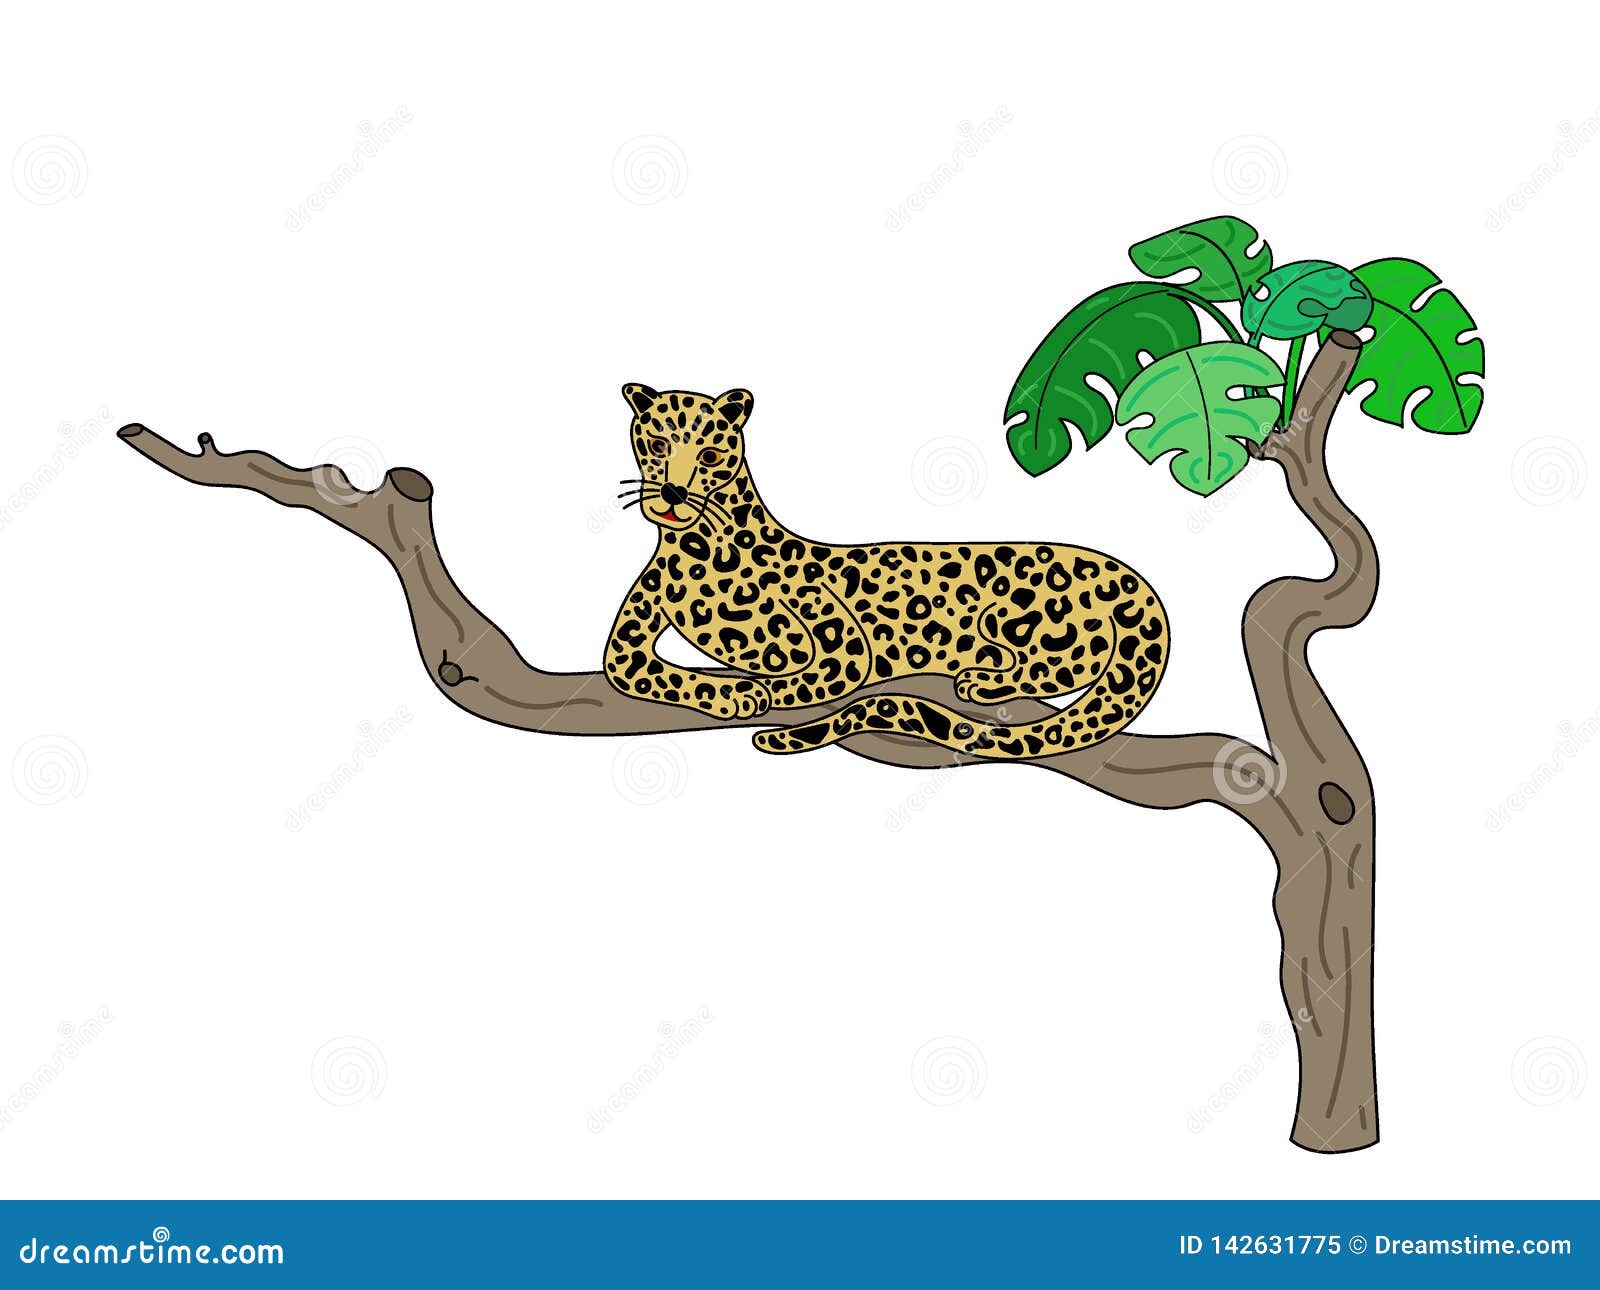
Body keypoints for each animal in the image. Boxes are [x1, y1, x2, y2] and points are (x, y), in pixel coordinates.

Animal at [604, 384, 1168, 760]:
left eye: (710, 453)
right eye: (657, 444)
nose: (673, 493)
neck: (694, 547)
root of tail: (1121, 575)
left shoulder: (848, 652)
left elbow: (805, 679)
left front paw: (752, 693)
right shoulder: (629, 638)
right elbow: (628, 669)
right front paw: (731, 693)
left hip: (1014, 613)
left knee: (1059, 666)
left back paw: (983, 680)